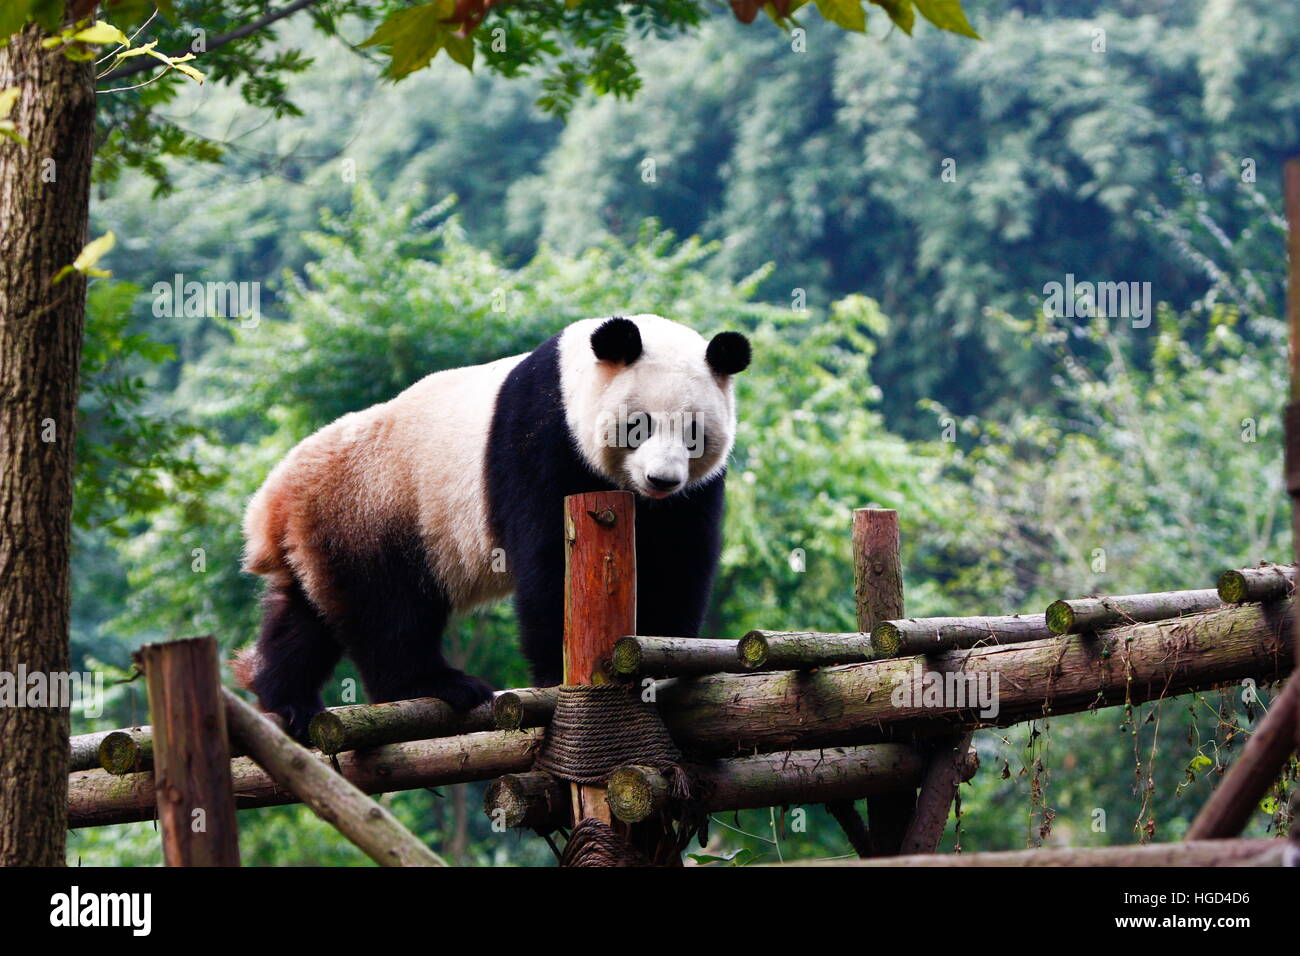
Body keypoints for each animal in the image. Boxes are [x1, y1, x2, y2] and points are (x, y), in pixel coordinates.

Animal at [236, 314, 751, 739]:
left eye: (693, 432)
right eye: (638, 425)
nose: (661, 480)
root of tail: (273, 502)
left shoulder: (693, 493)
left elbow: (678, 559)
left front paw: (661, 656)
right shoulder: (544, 437)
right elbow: (549, 560)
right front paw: (557, 673)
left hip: (324, 532)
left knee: (304, 617)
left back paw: (288, 700)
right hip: (376, 505)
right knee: (387, 607)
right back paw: (439, 685)